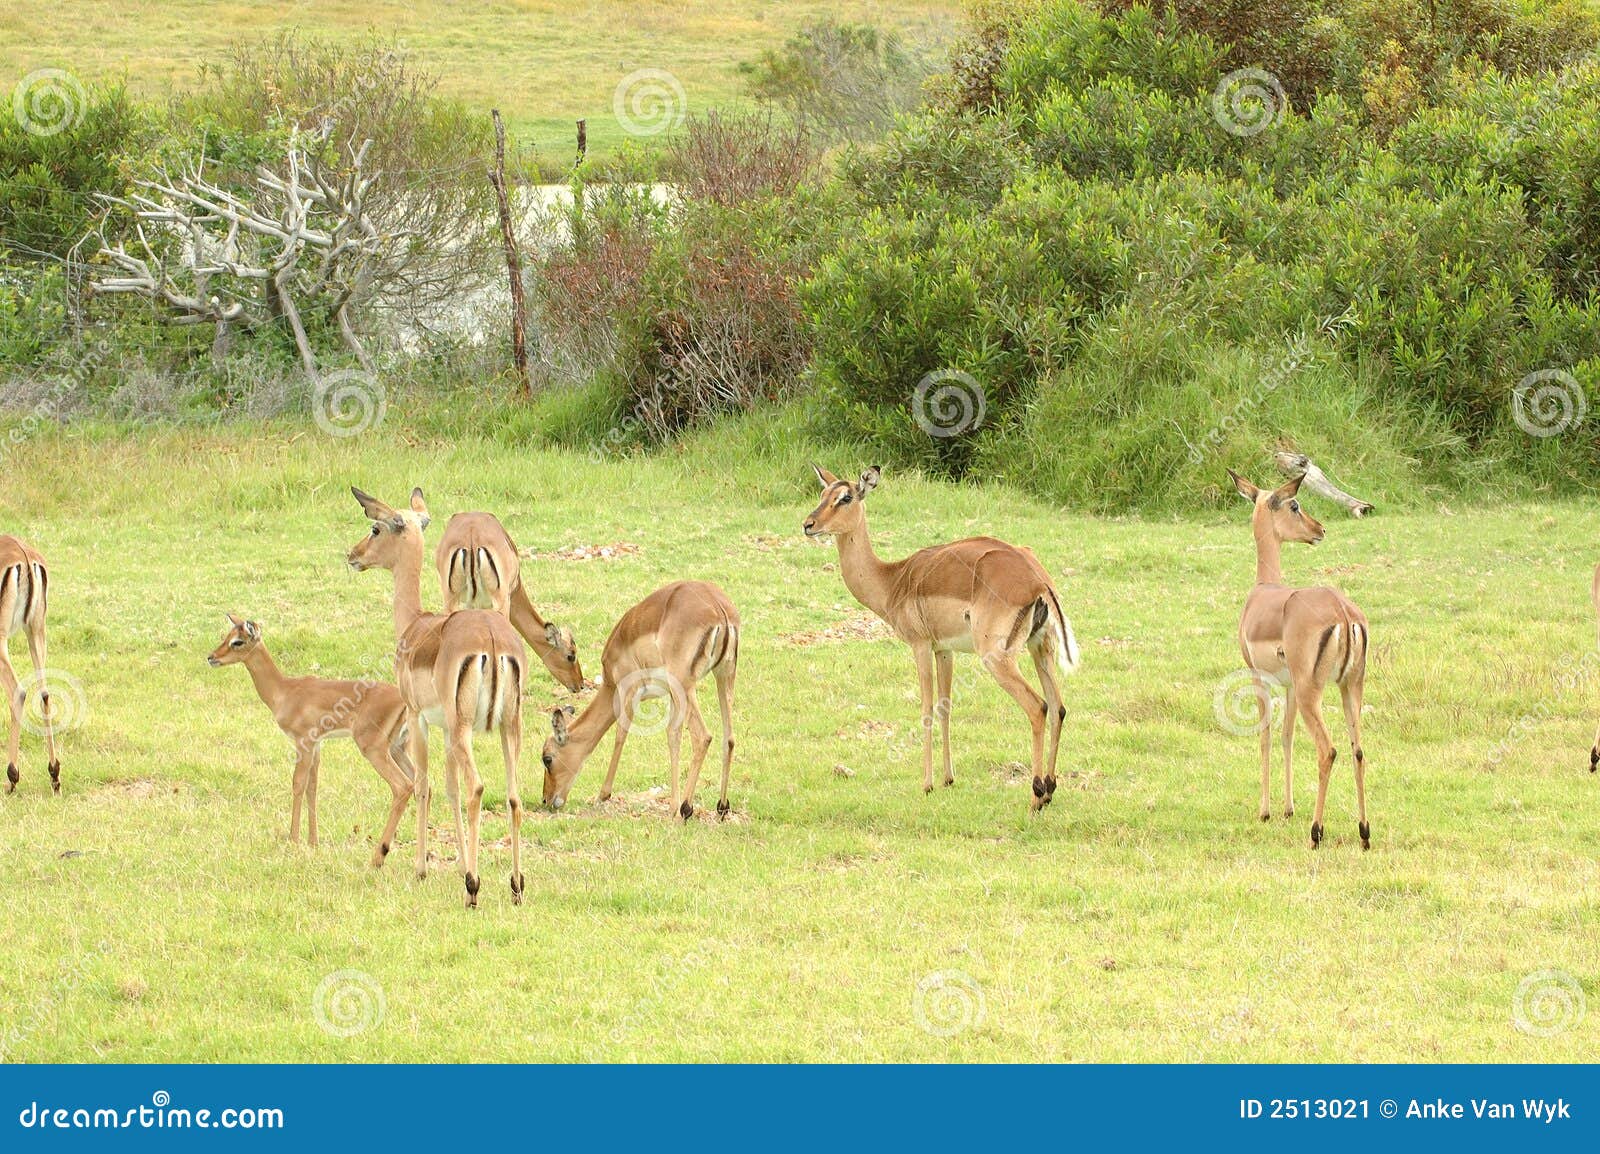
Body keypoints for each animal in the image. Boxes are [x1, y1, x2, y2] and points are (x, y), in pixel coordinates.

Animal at [207, 615, 413, 866]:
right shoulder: (317, 745)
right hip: (398, 749)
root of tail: (403, 700)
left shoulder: (303, 742)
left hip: (374, 750)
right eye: (226, 635)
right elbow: (312, 787)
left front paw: (293, 841)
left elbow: (298, 784)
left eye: (237, 641)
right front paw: (312, 842)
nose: (211, 657)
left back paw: (377, 858)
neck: (284, 691)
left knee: (403, 786)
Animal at [346, 487, 529, 909]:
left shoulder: (419, 718)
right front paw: (460, 863)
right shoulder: (445, 728)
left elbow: (423, 785)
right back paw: (515, 885)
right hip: (508, 726)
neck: (415, 626)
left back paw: (474, 889)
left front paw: (421, 869)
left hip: (465, 730)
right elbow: (450, 787)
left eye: (375, 528)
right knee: (512, 796)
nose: (354, 554)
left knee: (477, 787)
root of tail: (492, 642)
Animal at [541, 581, 738, 821]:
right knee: (728, 738)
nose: (546, 800)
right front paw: (672, 805)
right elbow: (673, 736)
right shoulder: (670, 696)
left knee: (703, 736)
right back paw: (722, 806)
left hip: (686, 684)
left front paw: (602, 795)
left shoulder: (628, 691)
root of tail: (718, 608)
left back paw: (685, 808)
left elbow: (621, 735)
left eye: (547, 758)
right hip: (723, 676)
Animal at [803, 466, 1080, 812]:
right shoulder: (944, 650)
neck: (893, 579)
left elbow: (925, 708)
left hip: (999, 658)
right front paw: (948, 779)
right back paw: (1050, 790)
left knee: (1038, 707)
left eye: (845, 497)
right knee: (1058, 707)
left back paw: (1035, 796)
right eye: (822, 494)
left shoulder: (920, 646)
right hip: (1039, 648)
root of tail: (1038, 579)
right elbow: (945, 707)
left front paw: (927, 784)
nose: (808, 525)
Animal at [1229, 469, 1371, 849]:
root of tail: (1342, 610)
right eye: (1295, 505)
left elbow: (1265, 735)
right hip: (1350, 687)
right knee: (1357, 749)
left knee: (1329, 749)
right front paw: (1288, 808)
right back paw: (1365, 832)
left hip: (1313, 692)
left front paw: (1265, 811)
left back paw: (1316, 832)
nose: (1319, 529)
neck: (1263, 592)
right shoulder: (1289, 685)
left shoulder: (1258, 677)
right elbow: (1287, 736)